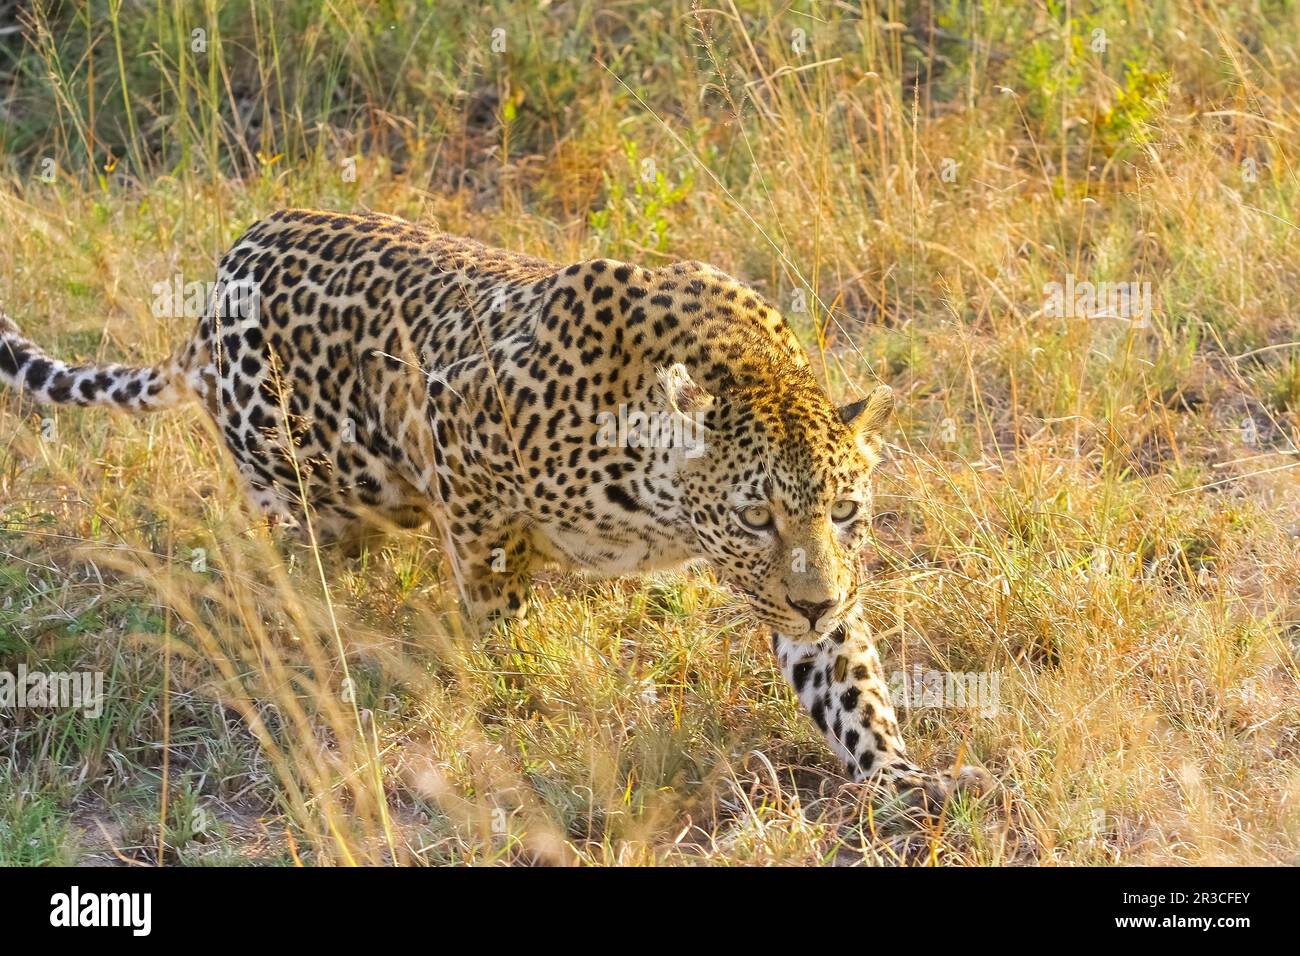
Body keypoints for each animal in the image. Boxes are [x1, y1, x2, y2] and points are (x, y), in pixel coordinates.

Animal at [0, 208, 987, 808]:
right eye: (755, 519)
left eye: (846, 512)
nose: (815, 602)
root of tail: (222, 273)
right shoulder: (460, 440)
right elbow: (493, 597)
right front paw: (506, 687)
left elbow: (852, 688)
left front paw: (903, 777)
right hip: (307, 469)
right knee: (294, 546)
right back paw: (310, 620)